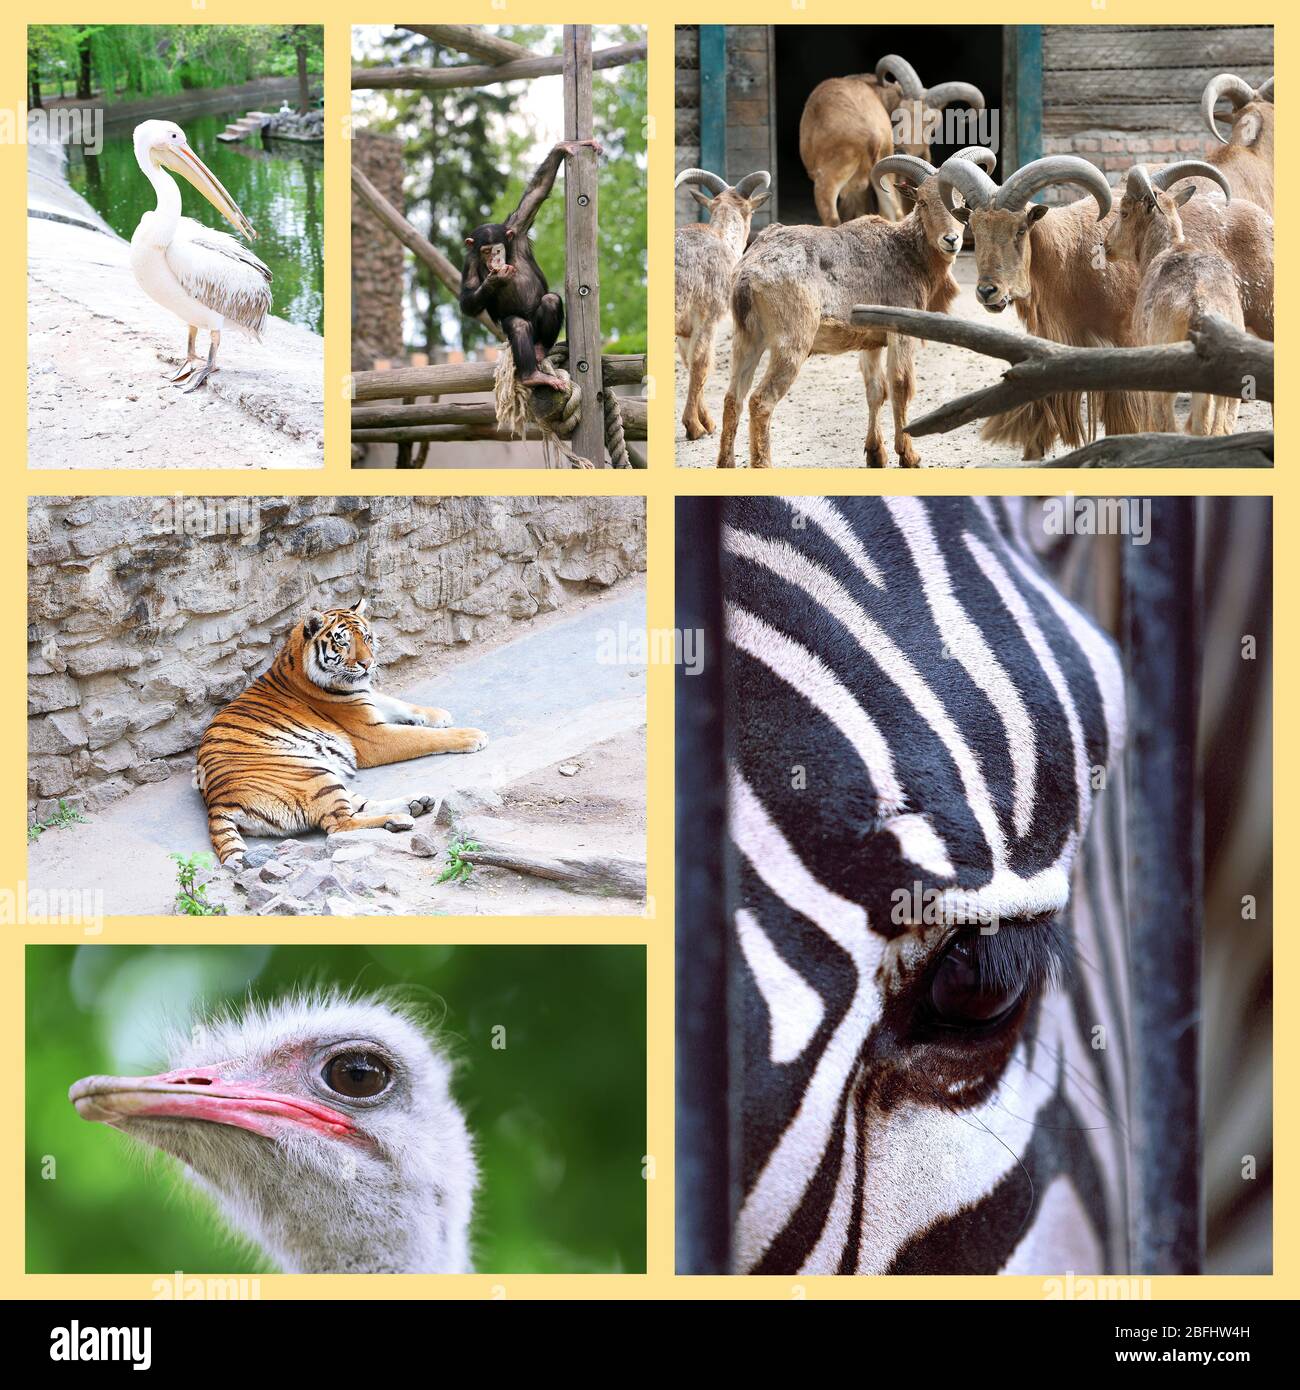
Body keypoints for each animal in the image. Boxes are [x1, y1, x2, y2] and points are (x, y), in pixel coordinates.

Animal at [675, 168, 772, 440]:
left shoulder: (684, 330)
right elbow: (701, 363)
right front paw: (696, 426)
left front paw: (706, 421)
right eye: (751, 211)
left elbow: (690, 362)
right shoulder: (708, 316)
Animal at [715, 147, 996, 469]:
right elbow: (901, 386)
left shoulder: (871, 342)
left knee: (733, 398)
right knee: (760, 401)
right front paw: (909, 455)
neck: (906, 252)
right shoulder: (901, 333)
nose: (951, 240)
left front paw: (876, 454)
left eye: (960, 203)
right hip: (791, 344)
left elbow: (876, 391)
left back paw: (725, 463)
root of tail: (748, 273)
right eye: (922, 202)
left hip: (747, 338)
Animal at [799, 55, 984, 226]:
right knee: (892, 212)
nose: (900, 149)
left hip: (829, 177)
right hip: (881, 171)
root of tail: (870, 131)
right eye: (899, 113)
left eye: (931, 121)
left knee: (832, 217)